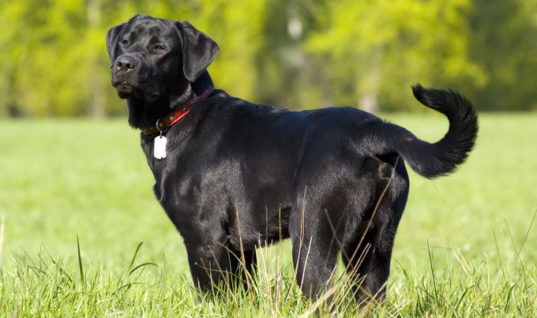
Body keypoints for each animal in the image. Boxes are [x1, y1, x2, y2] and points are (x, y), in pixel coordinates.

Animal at [105, 14, 478, 304]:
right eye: (125, 41)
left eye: (160, 48)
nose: (123, 64)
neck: (182, 115)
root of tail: (374, 130)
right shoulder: (242, 248)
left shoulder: (205, 238)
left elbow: (215, 296)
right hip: (373, 248)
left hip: (311, 237)